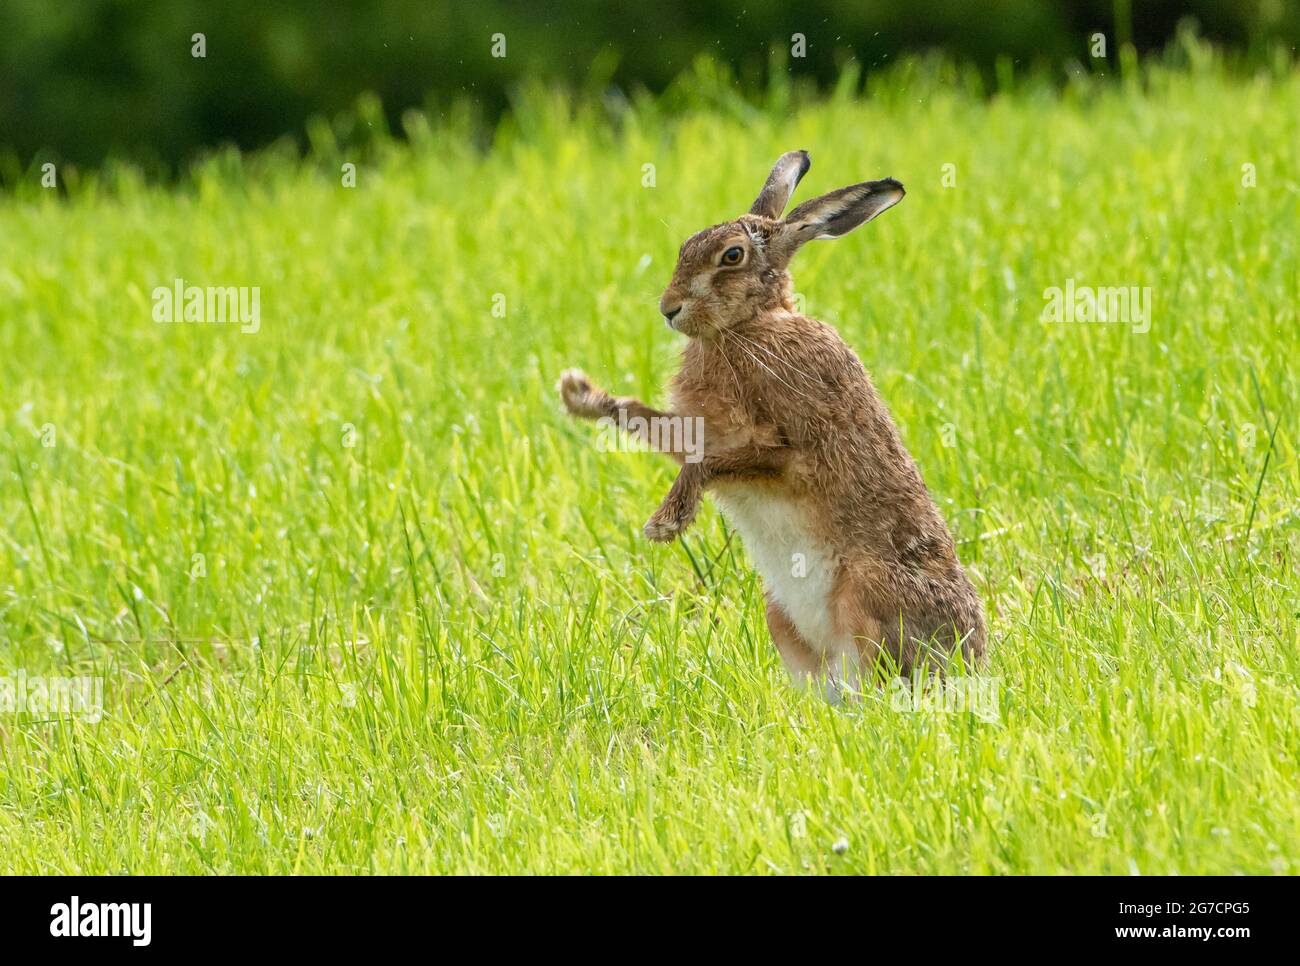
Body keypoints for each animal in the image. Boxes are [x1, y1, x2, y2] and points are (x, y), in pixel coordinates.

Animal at [559, 150, 985, 697]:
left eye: (731, 257)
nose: (669, 309)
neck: (749, 326)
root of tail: (972, 657)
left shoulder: (786, 450)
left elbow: (706, 464)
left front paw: (666, 523)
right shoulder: (700, 428)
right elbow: (653, 425)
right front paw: (580, 395)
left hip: (866, 593)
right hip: (778, 615)